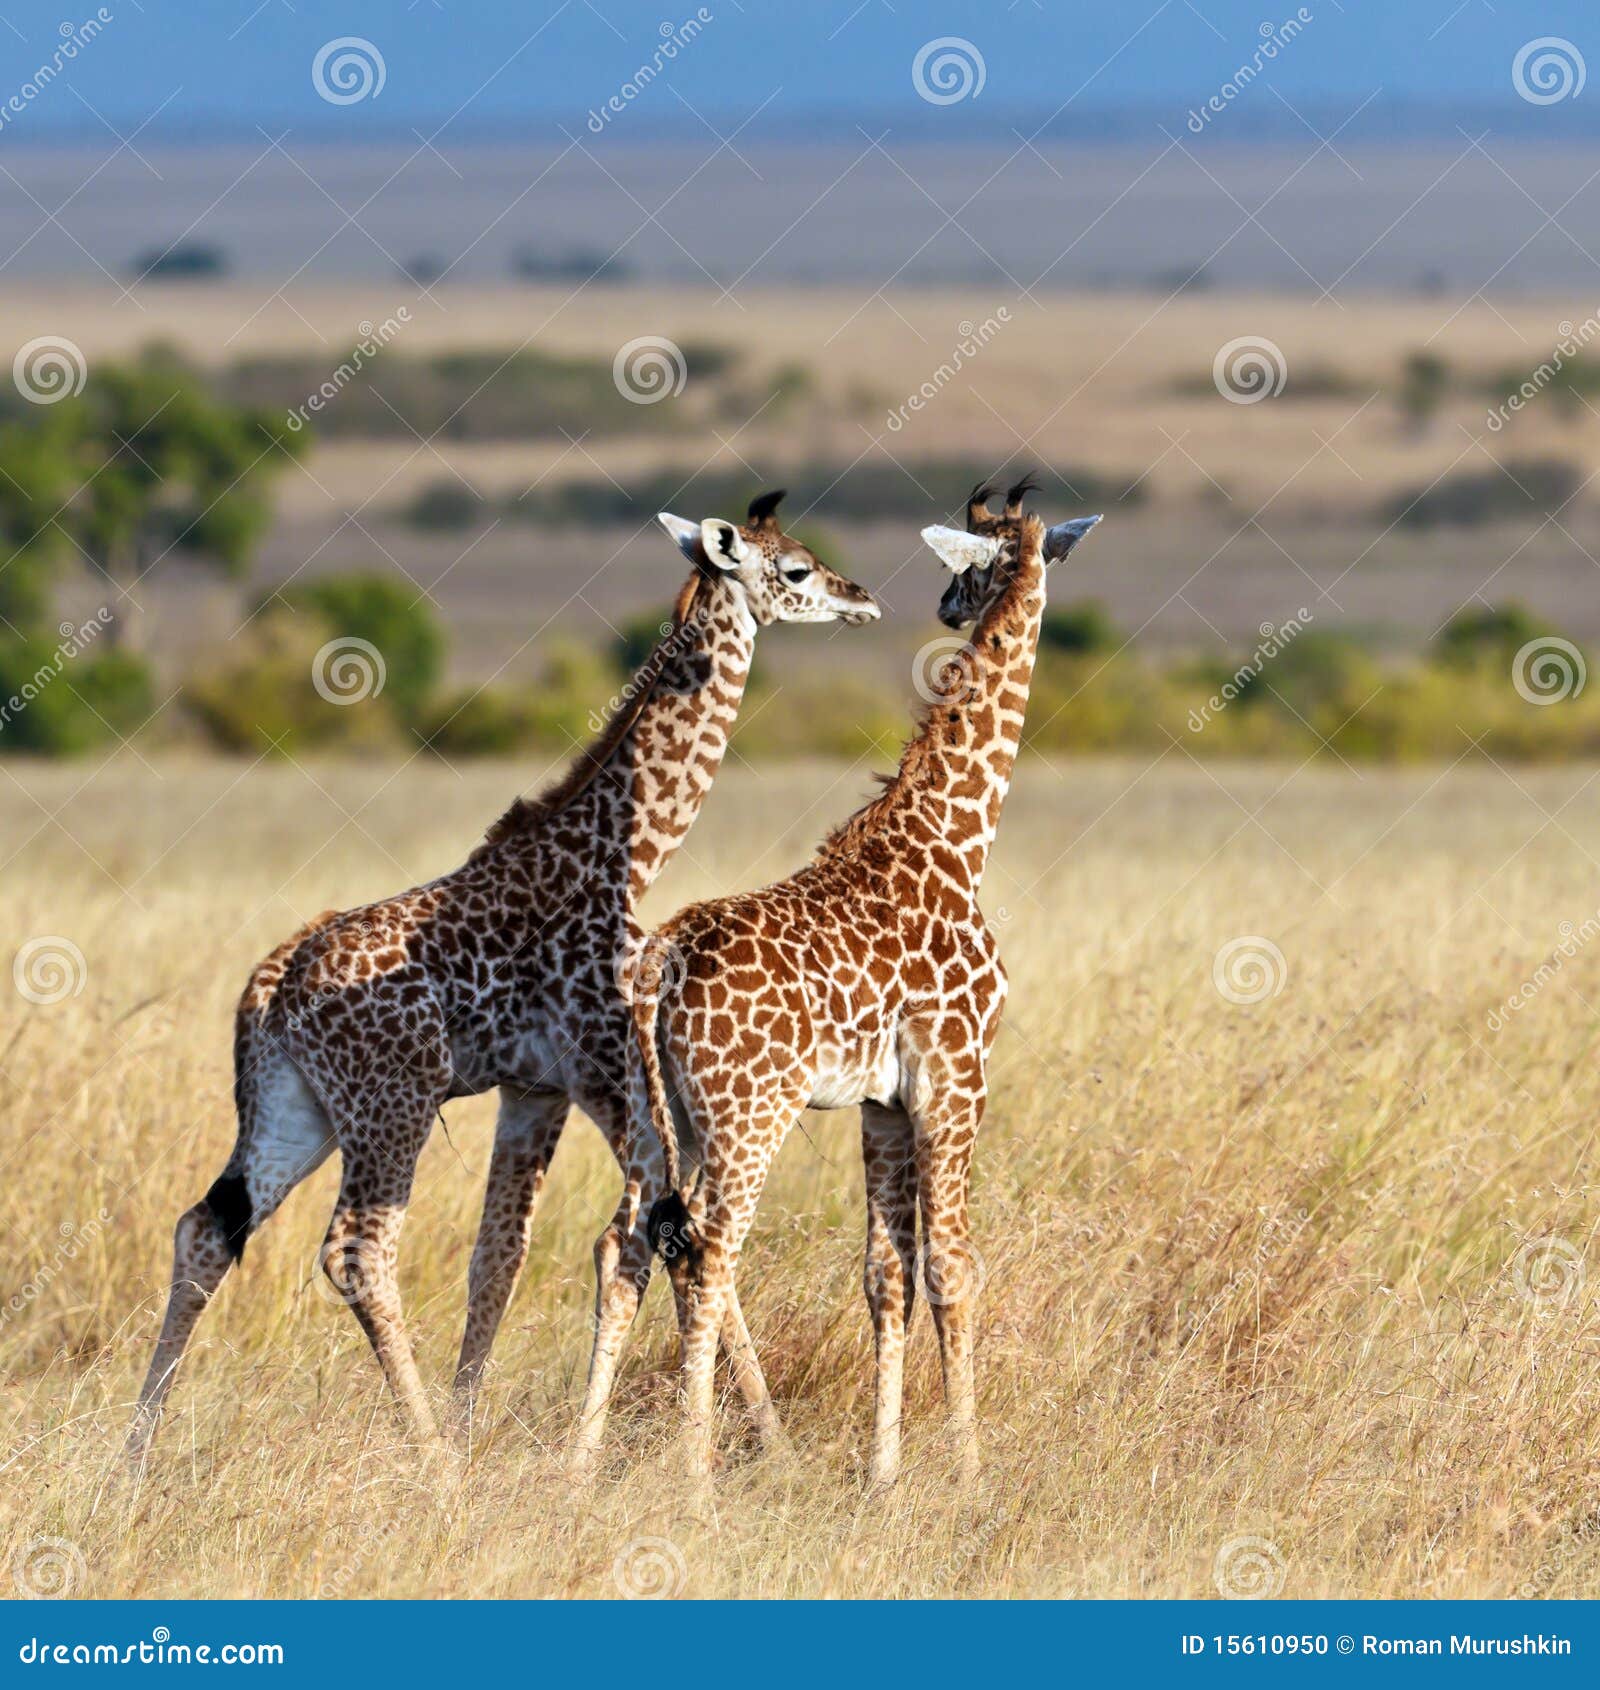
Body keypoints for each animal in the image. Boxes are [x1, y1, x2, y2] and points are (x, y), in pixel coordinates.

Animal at [127, 492, 879, 1460]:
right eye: (793, 569)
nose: (861, 597)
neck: (622, 859)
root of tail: (272, 987)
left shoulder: (536, 1090)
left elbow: (501, 1256)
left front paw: (471, 1425)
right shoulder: (611, 1078)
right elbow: (664, 1231)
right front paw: (768, 1445)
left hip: (295, 1109)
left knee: (206, 1227)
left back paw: (135, 1458)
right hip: (392, 1104)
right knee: (357, 1250)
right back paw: (429, 1469)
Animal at [578, 481, 1101, 1484]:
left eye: (967, 569)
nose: (945, 607)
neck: (957, 836)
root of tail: (657, 969)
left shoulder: (882, 1102)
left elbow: (883, 1276)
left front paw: (885, 1476)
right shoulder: (957, 1077)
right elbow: (951, 1269)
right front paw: (968, 1474)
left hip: (663, 1118)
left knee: (627, 1242)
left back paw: (576, 1469)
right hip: (748, 1117)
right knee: (705, 1255)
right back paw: (698, 1480)